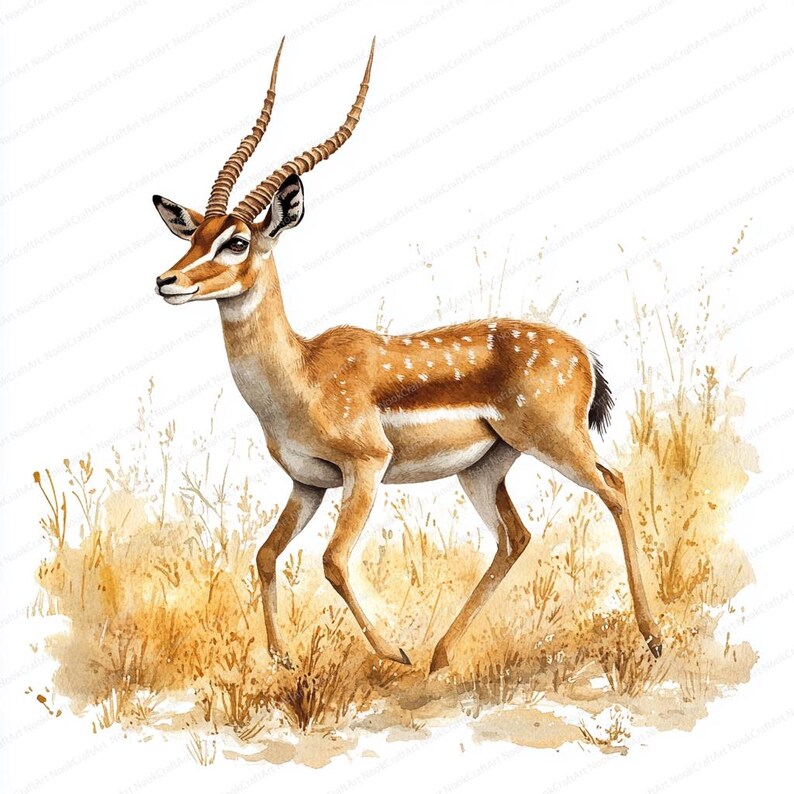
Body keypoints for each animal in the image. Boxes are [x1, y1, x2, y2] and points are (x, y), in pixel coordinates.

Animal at [152, 38, 662, 671]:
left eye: (237, 241)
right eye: (194, 235)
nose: (167, 281)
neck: (301, 373)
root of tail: (582, 352)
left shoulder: (367, 467)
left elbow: (332, 560)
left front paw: (393, 651)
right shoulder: (308, 482)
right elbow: (266, 554)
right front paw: (283, 658)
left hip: (556, 443)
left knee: (615, 486)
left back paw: (653, 637)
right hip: (484, 468)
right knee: (514, 537)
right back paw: (442, 655)